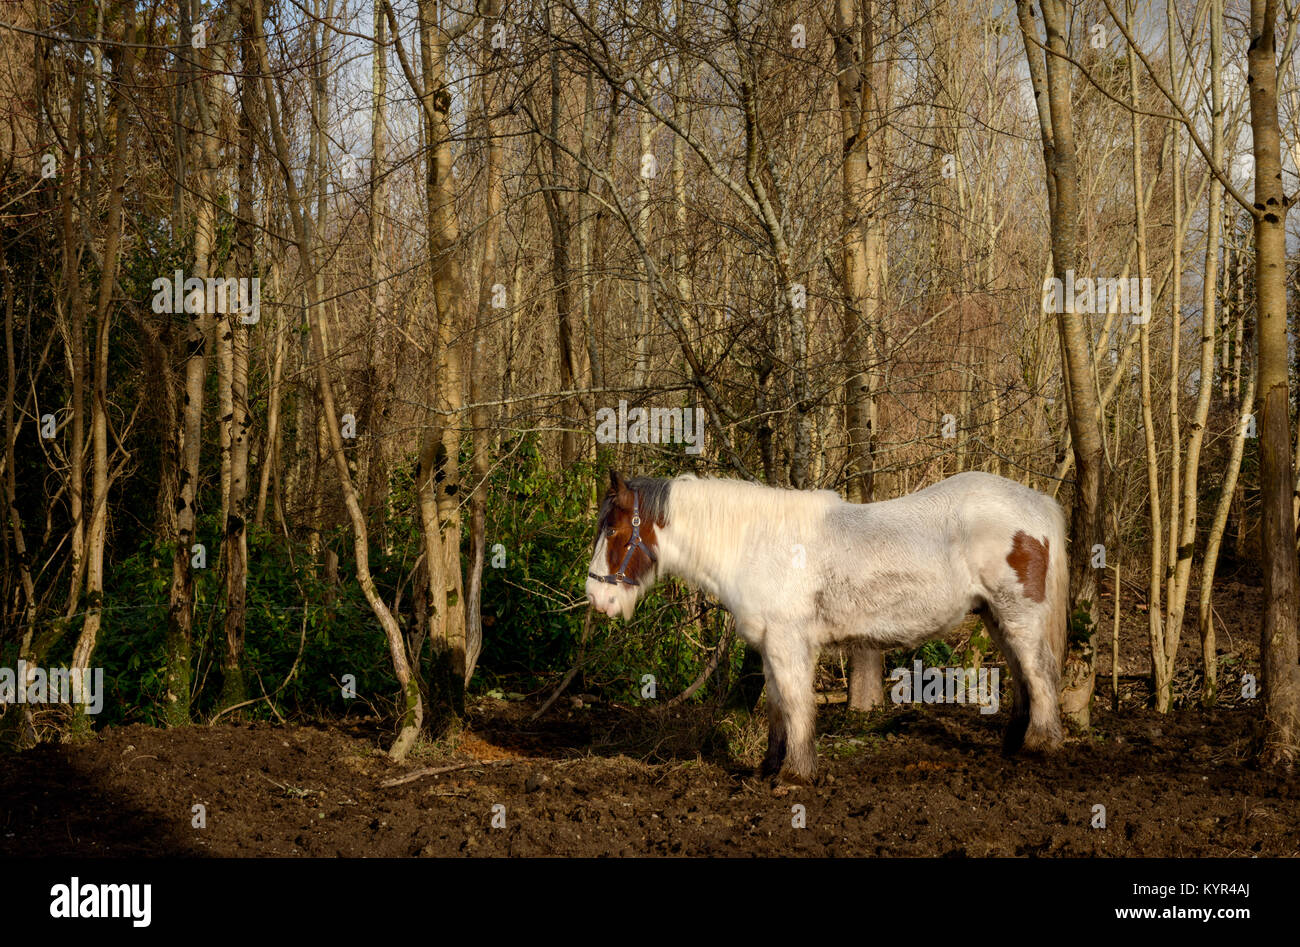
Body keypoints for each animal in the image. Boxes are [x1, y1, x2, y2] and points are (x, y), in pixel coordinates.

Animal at [584, 469, 1068, 783]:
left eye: (614, 530)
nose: (596, 598)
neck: (757, 543)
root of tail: (1036, 504)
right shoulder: (770, 644)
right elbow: (777, 704)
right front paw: (770, 767)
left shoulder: (788, 642)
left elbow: (797, 703)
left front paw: (797, 774)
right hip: (995, 616)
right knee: (1022, 676)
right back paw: (1013, 743)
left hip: (1018, 615)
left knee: (1040, 673)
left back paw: (1039, 746)